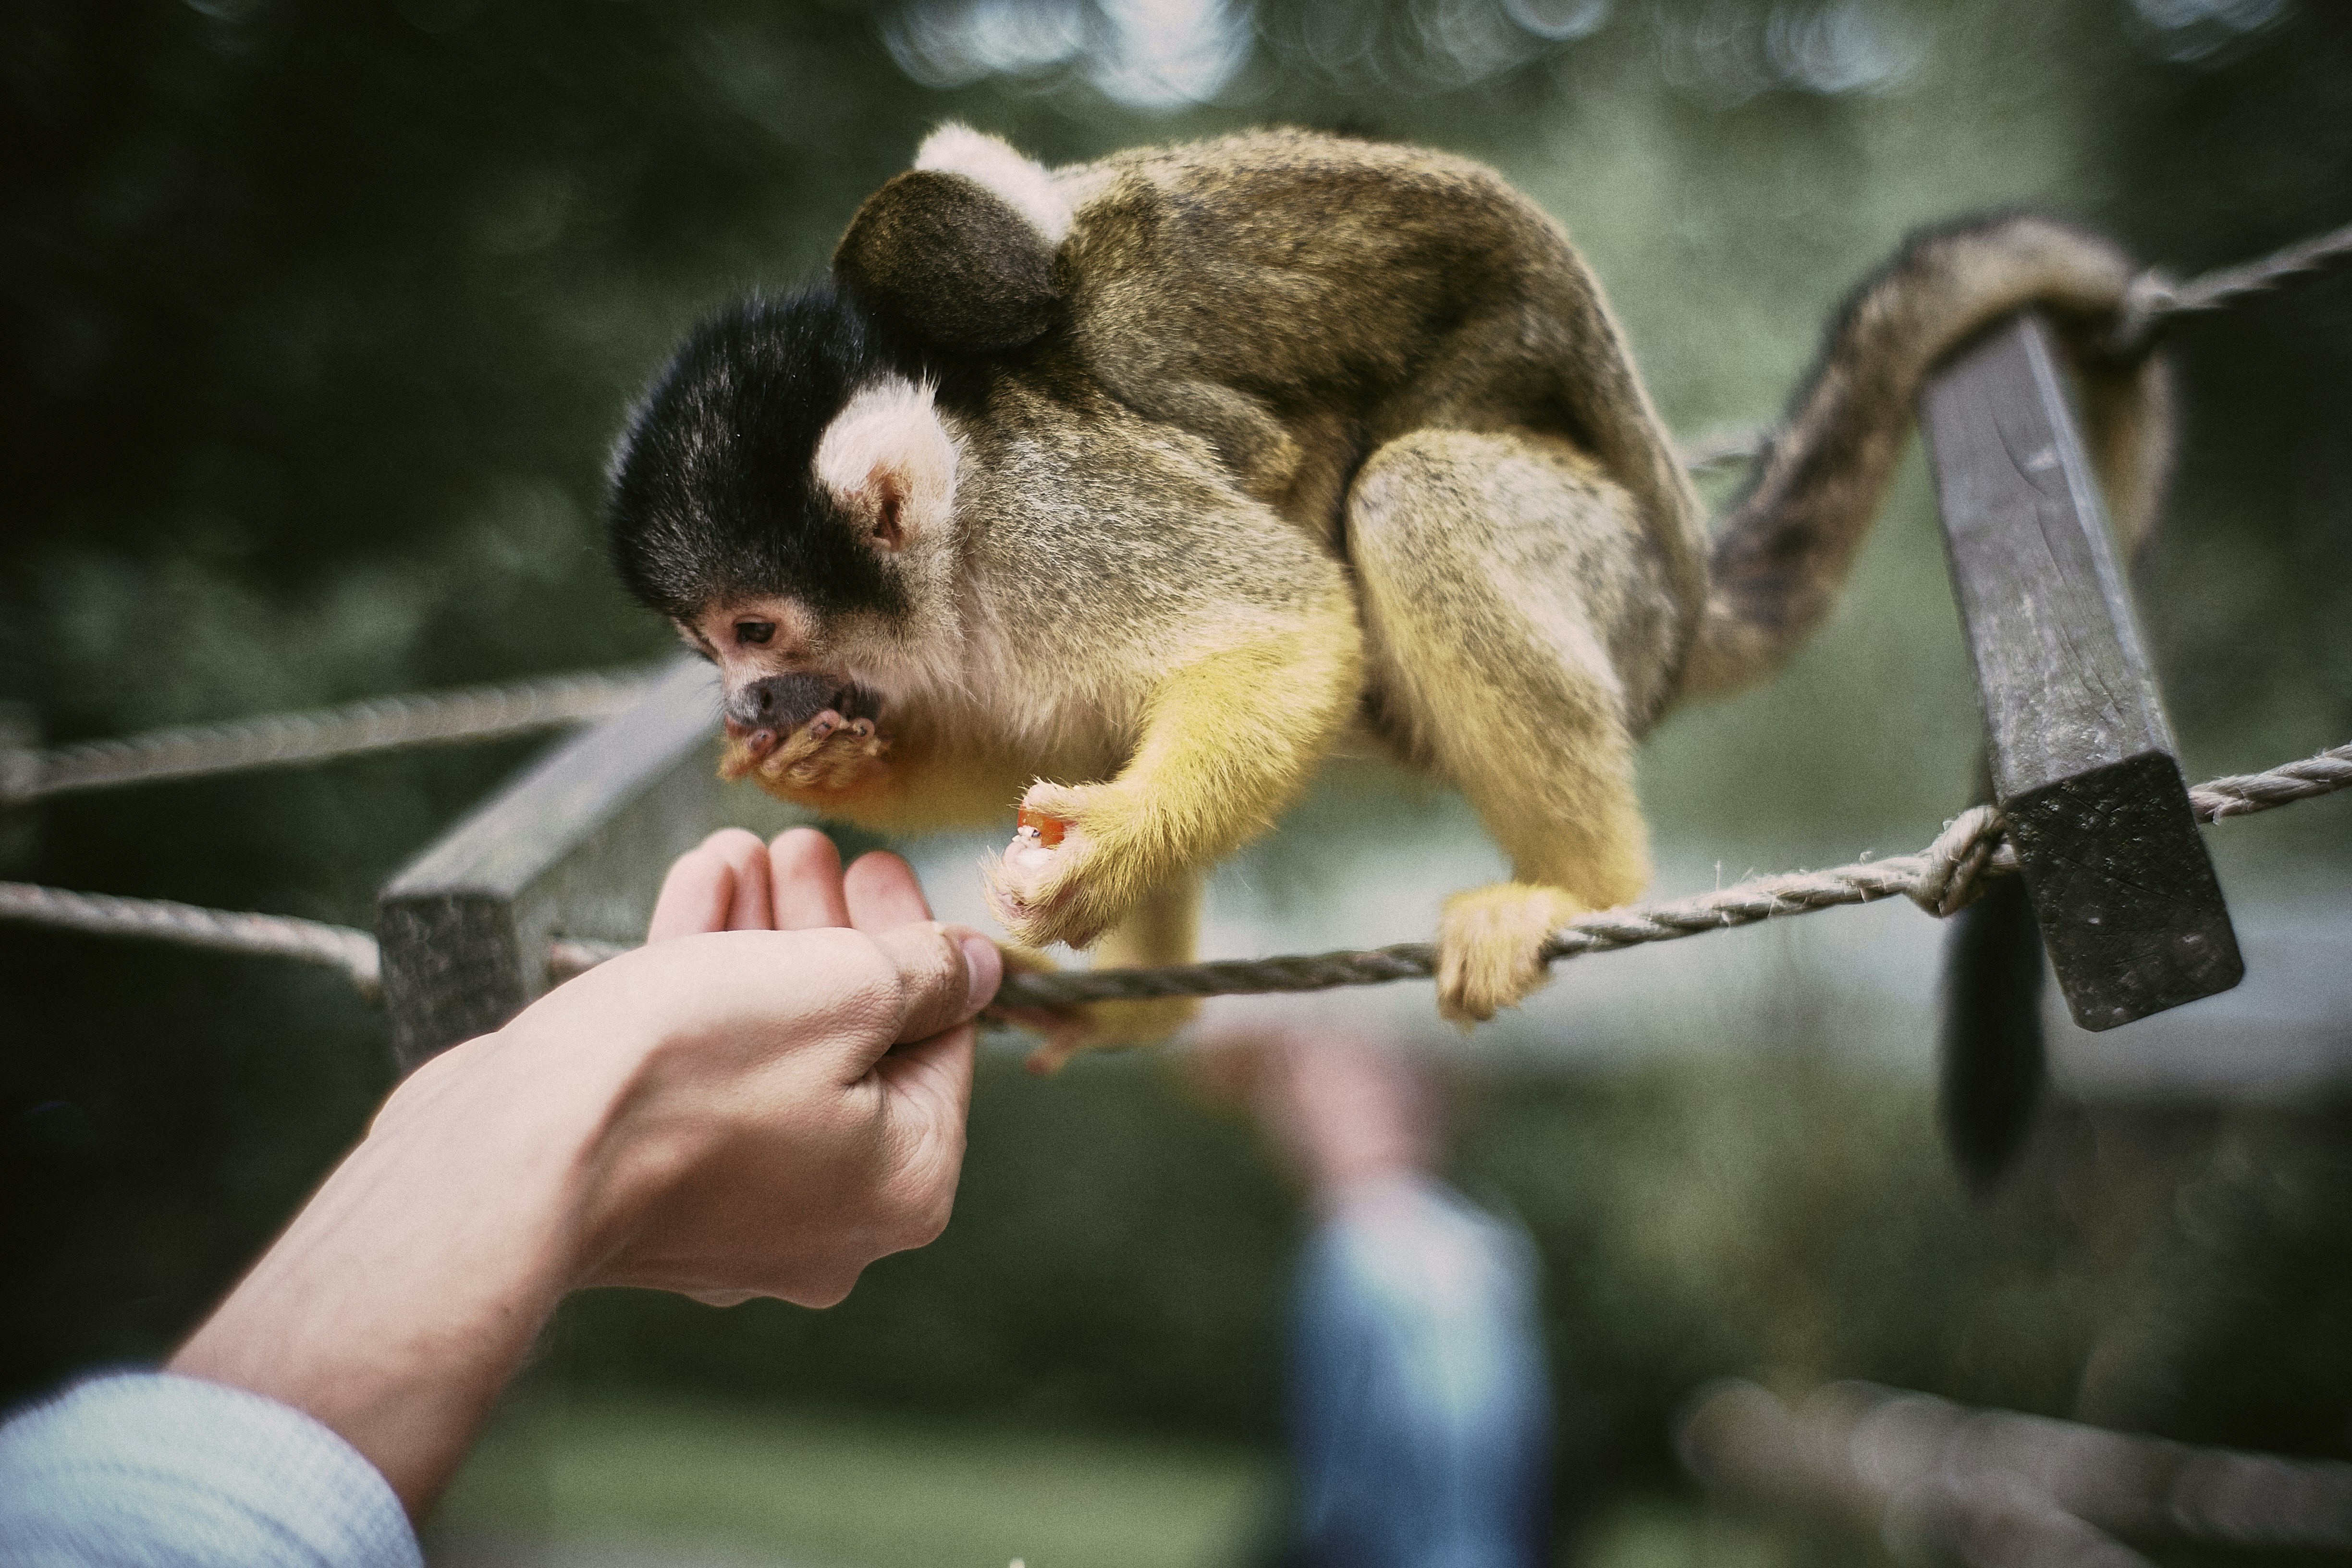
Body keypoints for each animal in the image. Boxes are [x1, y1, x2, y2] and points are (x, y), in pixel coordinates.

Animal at [606, 125, 2170, 1070]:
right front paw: (835, 762)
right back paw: (1145, 1003)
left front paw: (1103, 850)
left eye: (754, 629)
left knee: (1414, 497)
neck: (953, 570)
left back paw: (1578, 884)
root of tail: (1679, 597)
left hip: (1607, 565)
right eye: (712, 649)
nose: (749, 697)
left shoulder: (1060, 519)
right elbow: (1050, 734)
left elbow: (1286, 620)